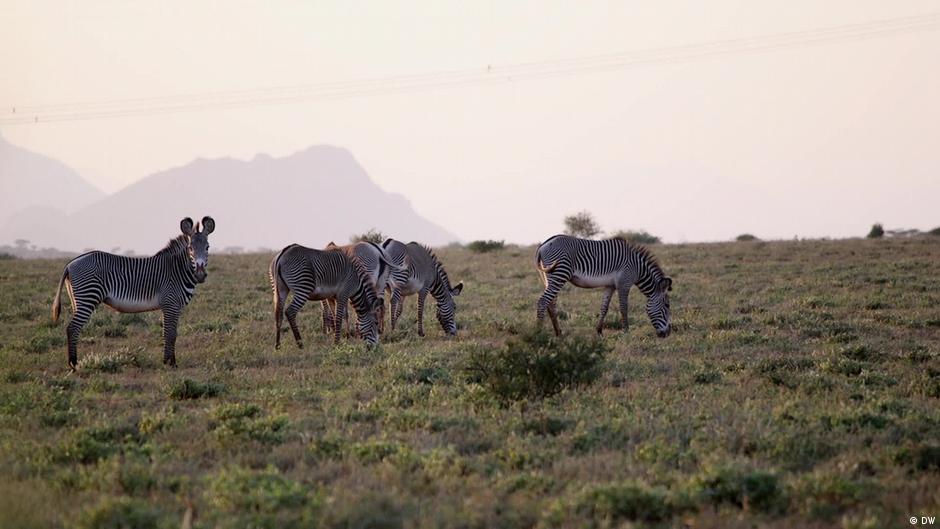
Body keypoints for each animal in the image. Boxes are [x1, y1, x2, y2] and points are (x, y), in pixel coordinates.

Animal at [51, 216, 216, 369]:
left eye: (207, 247)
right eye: (190, 248)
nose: (200, 275)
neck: (177, 270)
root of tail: (70, 264)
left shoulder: (174, 307)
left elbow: (171, 333)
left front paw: (169, 361)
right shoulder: (170, 304)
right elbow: (170, 334)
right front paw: (170, 363)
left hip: (77, 300)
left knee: (74, 328)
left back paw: (73, 362)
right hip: (88, 297)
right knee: (72, 328)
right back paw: (73, 364)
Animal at [535, 234, 672, 337]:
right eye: (667, 305)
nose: (667, 334)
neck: (638, 269)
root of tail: (542, 246)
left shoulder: (610, 285)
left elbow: (604, 308)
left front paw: (599, 331)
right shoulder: (624, 283)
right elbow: (624, 308)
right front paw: (626, 332)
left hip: (549, 277)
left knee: (551, 304)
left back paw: (558, 333)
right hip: (559, 274)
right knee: (543, 301)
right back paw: (539, 334)